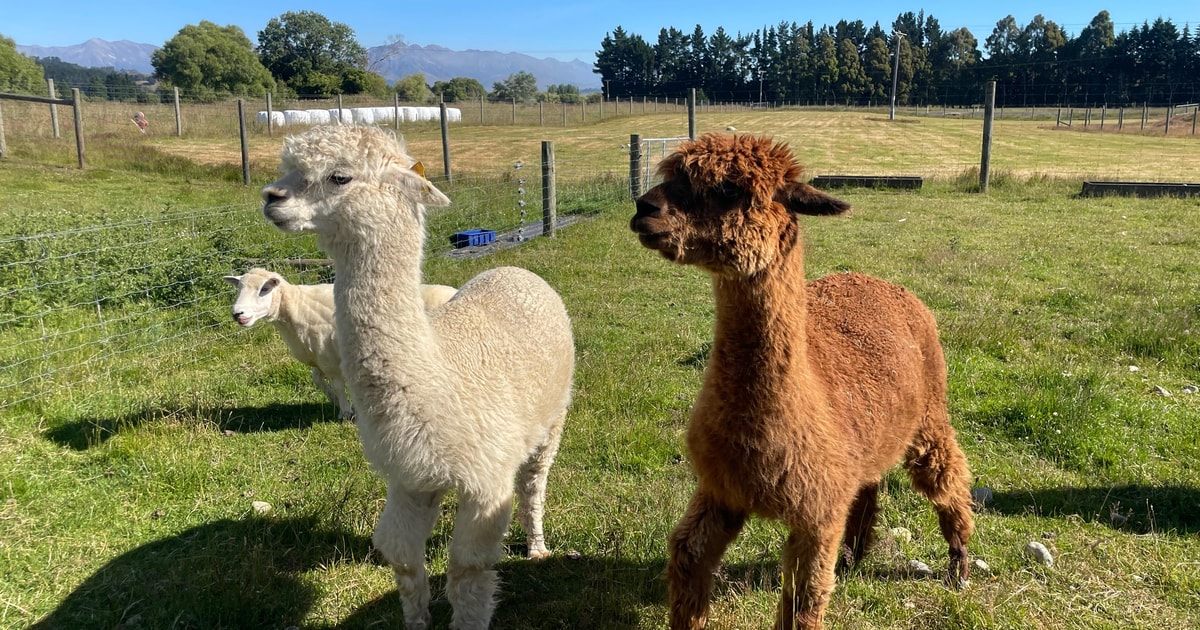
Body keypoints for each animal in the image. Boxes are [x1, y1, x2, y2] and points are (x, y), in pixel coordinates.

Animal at [224, 268, 457, 420]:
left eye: (263, 290)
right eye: (239, 289)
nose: (237, 314)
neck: (296, 308)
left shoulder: (331, 358)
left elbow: (337, 384)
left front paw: (345, 412)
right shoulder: (320, 356)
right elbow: (317, 379)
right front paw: (334, 399)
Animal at [260, 125, 575, 630]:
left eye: (340, 176)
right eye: (286, 167)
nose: (271, 197)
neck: (437, 376)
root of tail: (514, 267)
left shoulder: (487, 480)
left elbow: (467, 571)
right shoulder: (409, 478)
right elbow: (403, 559)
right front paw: (417, 620)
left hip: (553, 417)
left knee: (533, 484)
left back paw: (538, 547)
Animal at [629, 133, 975, 630]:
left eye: (729, 189)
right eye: (672, 176)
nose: (645, 207)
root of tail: (884, 283)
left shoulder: (816, 515)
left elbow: (805, 602)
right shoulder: (722, 491)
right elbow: (686, 559)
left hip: (929, 415)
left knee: (947, 477)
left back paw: (959, 564)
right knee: (868, 487)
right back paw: (854, 557)